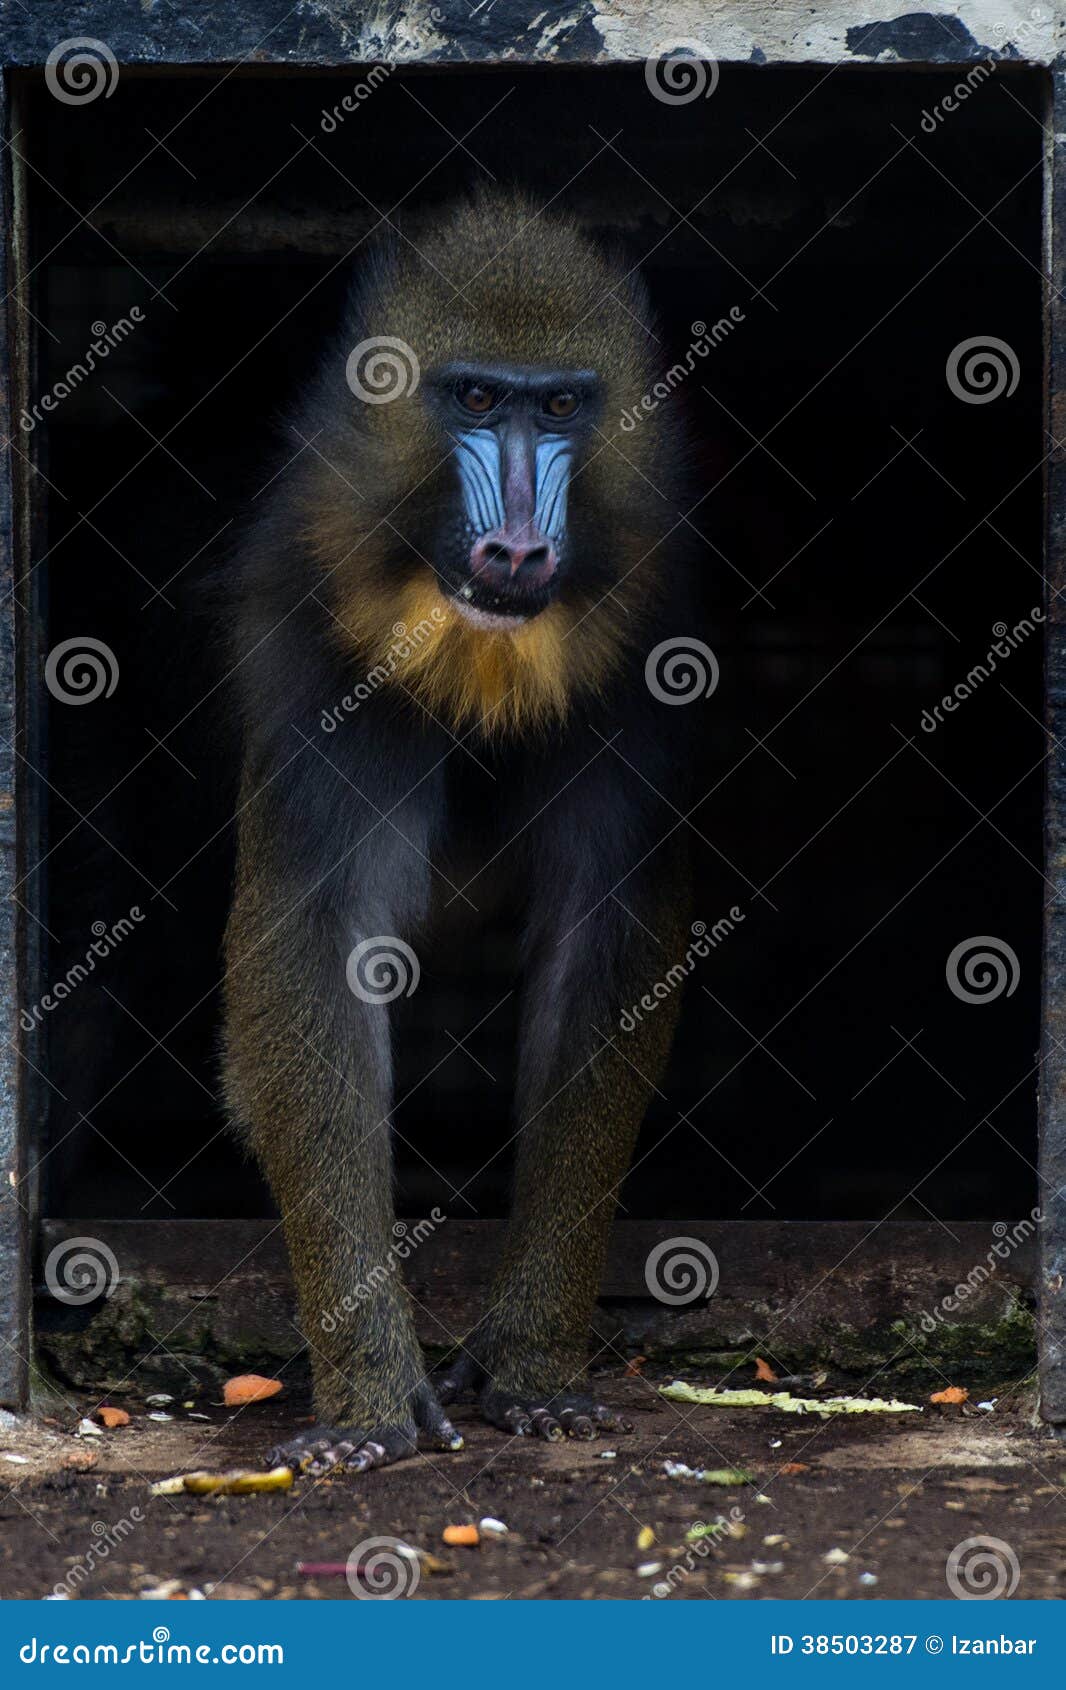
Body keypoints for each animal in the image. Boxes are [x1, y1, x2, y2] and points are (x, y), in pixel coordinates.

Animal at [222, 191, 695, 1474]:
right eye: (476, 400)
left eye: (563, 408)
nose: (519, 549)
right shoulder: (313, 656)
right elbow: (323, 957)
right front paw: (369, 1393)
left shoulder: (637, 674)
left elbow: (596, 954)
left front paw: (532, 1364)